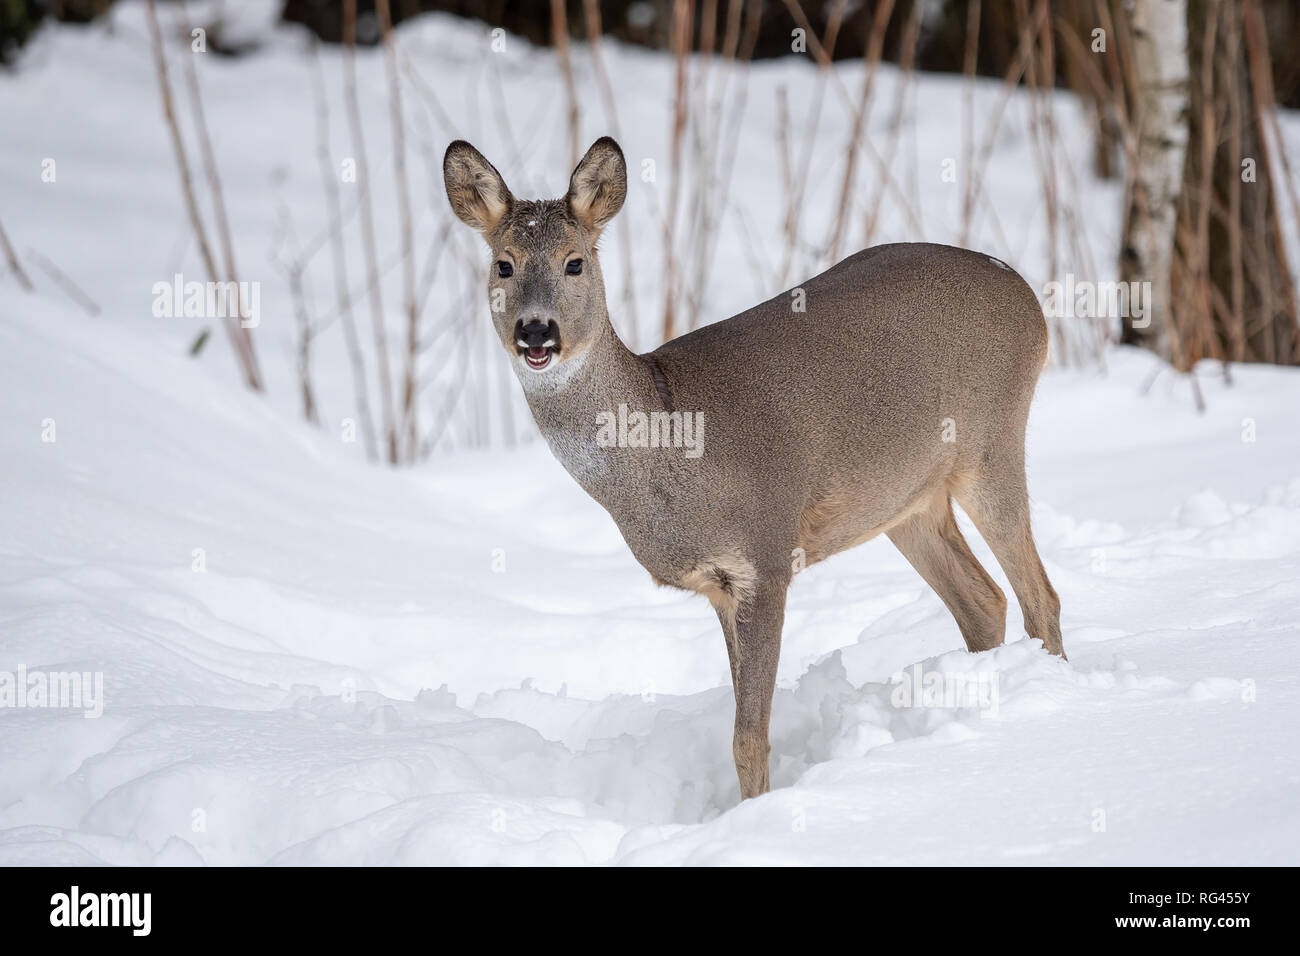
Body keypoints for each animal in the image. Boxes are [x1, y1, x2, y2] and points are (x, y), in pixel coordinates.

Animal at [443, 136, 1064, 800]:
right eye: (504, 265)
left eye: (575, 262)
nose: (536, 332)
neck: (669, 447)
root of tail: (1027, 295)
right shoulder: (721, 585)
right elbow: (741, 733)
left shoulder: (765, 555)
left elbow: (748, 738)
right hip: (907, 501)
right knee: (984, 601)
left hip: (992, 442)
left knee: (1041, 597)